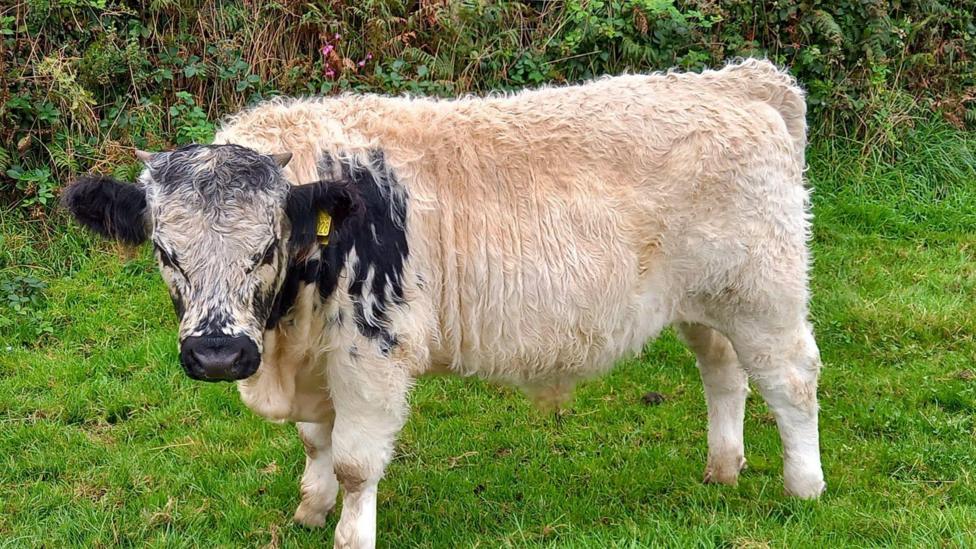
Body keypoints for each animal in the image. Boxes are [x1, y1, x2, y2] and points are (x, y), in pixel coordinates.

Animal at [63, 58, 825, 548]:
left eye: (267, 246)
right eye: (166, 251)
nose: (218, 352)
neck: (284, 346)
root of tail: (738, 81)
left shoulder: (370, 351)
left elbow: (354, 459)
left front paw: (349, 530)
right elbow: (315, 441)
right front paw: (311, 508)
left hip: (765, 293)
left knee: (792, 379)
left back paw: (804, 487)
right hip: (705, 300)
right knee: (723, 373)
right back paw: (723, 468)